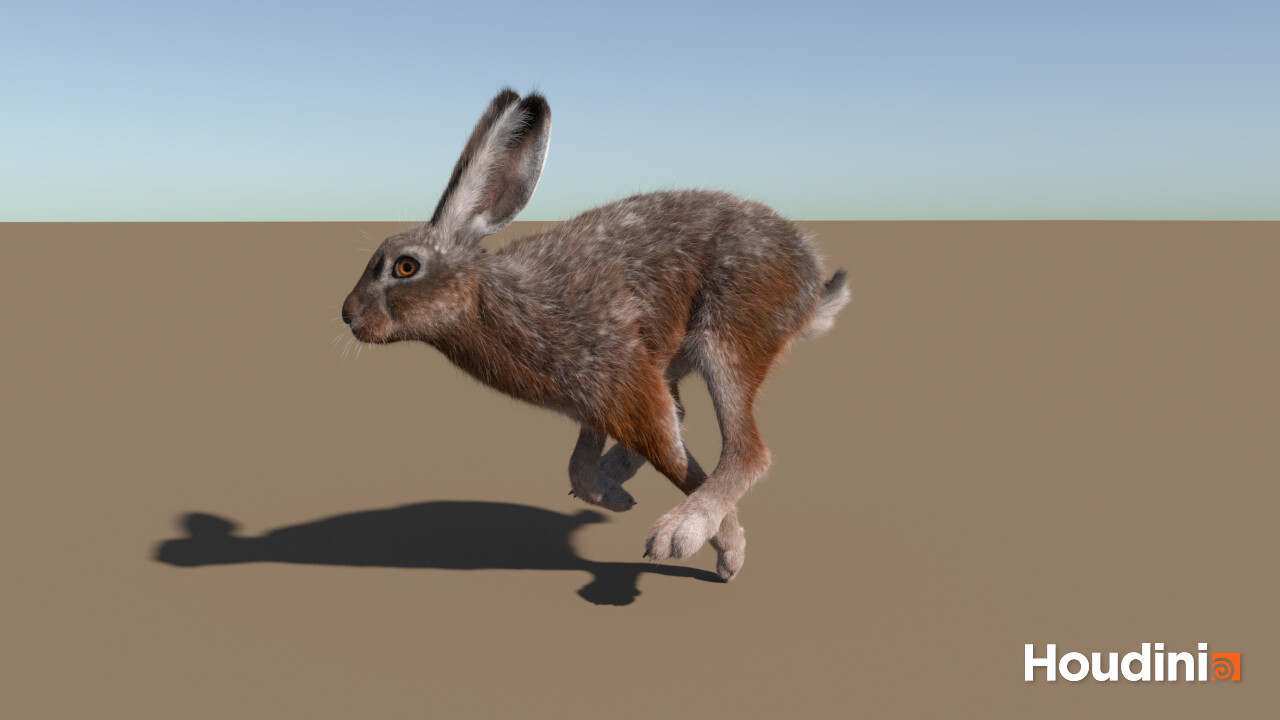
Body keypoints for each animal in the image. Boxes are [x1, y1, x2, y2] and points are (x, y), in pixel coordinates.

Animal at [342, 89, 850, 582]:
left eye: (405, 267)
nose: (348, 315)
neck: (486, 298)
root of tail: (809, 283)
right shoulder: (597, 400)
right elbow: (581, 466)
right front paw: (613, 496)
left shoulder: (624, 386)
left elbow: (673, 458)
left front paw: (717, 546)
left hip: (729, 336)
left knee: (748, 451)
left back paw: (691, 532)